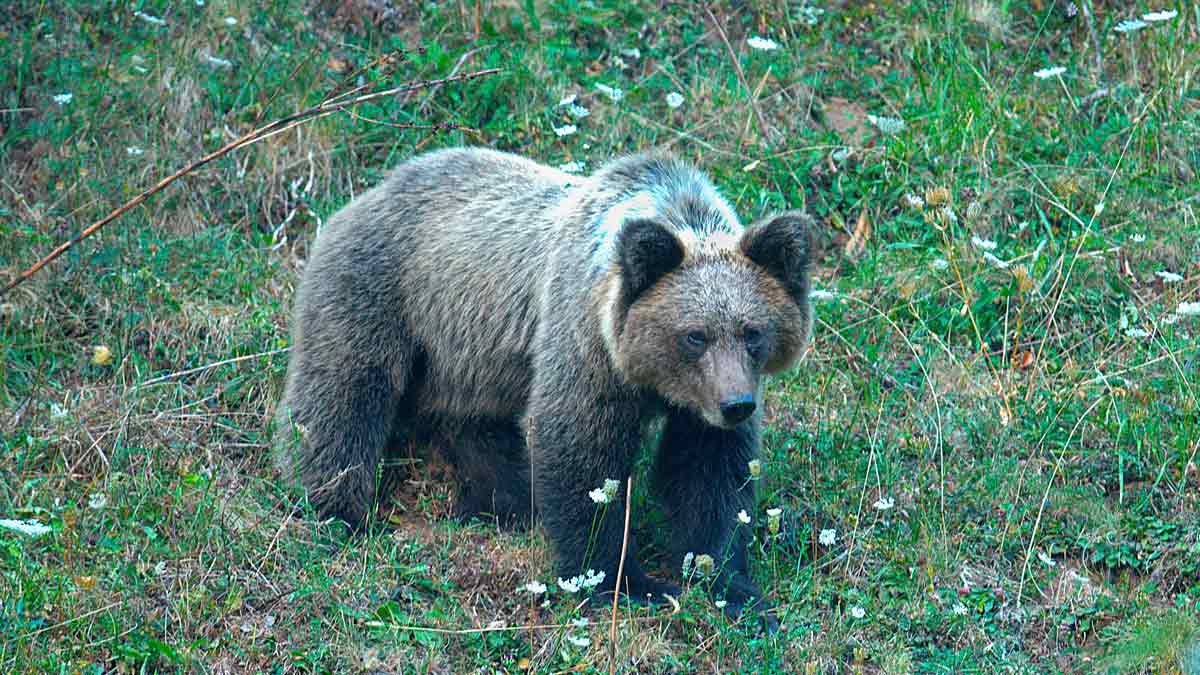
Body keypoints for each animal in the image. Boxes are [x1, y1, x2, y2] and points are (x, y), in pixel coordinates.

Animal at [274, 146, 813, 622]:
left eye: (753, 331)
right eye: (694, 335)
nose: (736, 405)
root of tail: (361, 196)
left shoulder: (698, 404)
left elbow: (710, 475)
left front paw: (730, 587)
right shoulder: (585, 341)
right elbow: (580, 451)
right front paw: (626, 584)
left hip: (469, 356)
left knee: (476, 427)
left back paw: (506, 504)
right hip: (380, 294)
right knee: (342, 396)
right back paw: (337, 510)